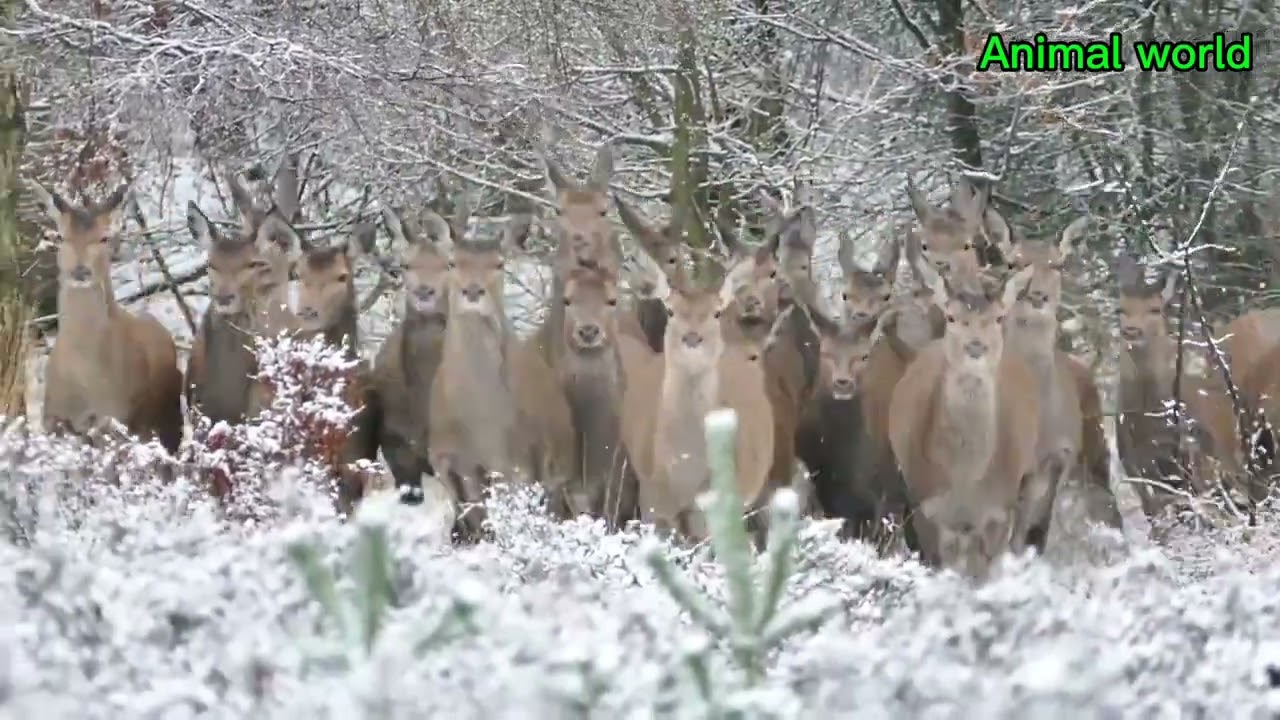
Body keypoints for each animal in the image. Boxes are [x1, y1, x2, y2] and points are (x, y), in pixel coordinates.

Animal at [887, 258, 1040, 579]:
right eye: (951, 316)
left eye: (999, 318)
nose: (976, 346)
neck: (965, 480)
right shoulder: (926, 507)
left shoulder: (999, 511)